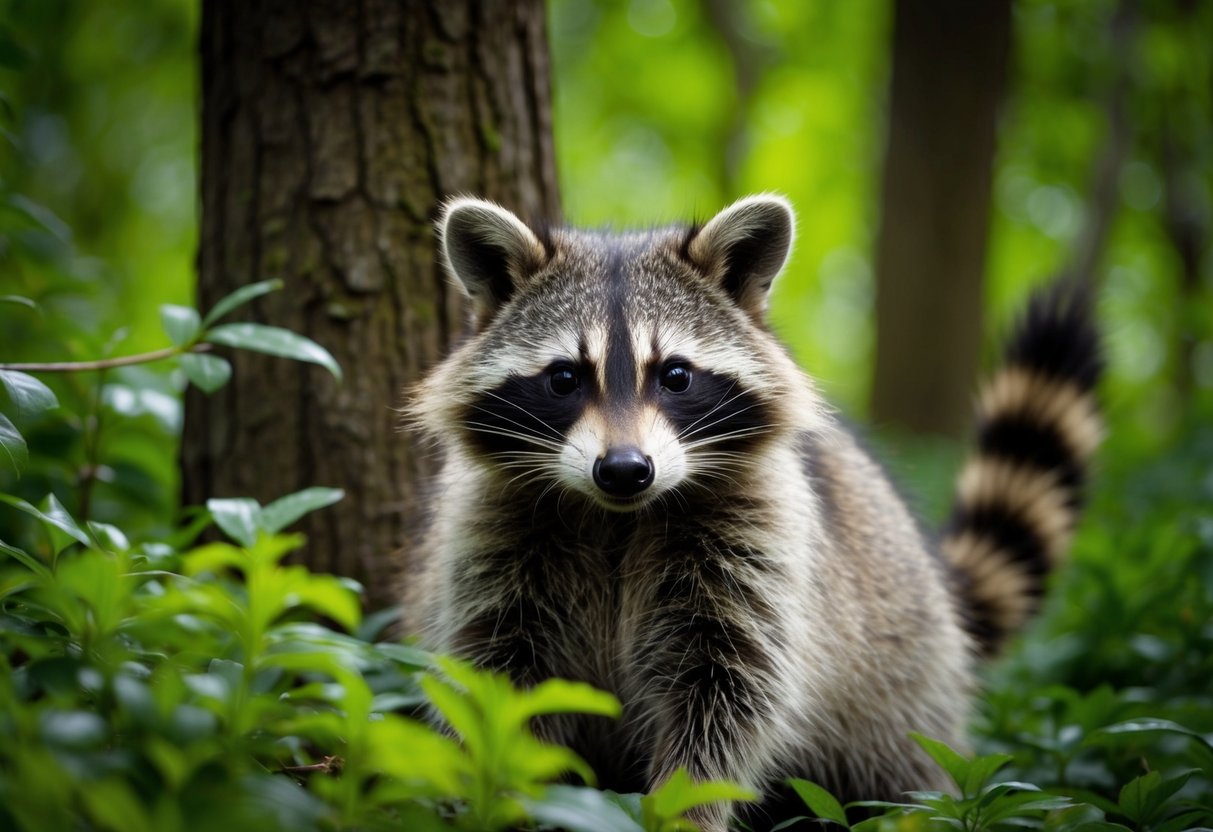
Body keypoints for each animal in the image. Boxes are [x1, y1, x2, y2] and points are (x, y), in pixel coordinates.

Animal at [402, 195, 1102, 831]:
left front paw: (686, 814)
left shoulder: (758, 544)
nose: (624, 469)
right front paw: (498, 800)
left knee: (907, 769)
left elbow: (728, 694)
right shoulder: (493, 538)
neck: (618, 516)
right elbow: (495, 683)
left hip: (905, 678)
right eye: (565, 378)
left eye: (675, 375)